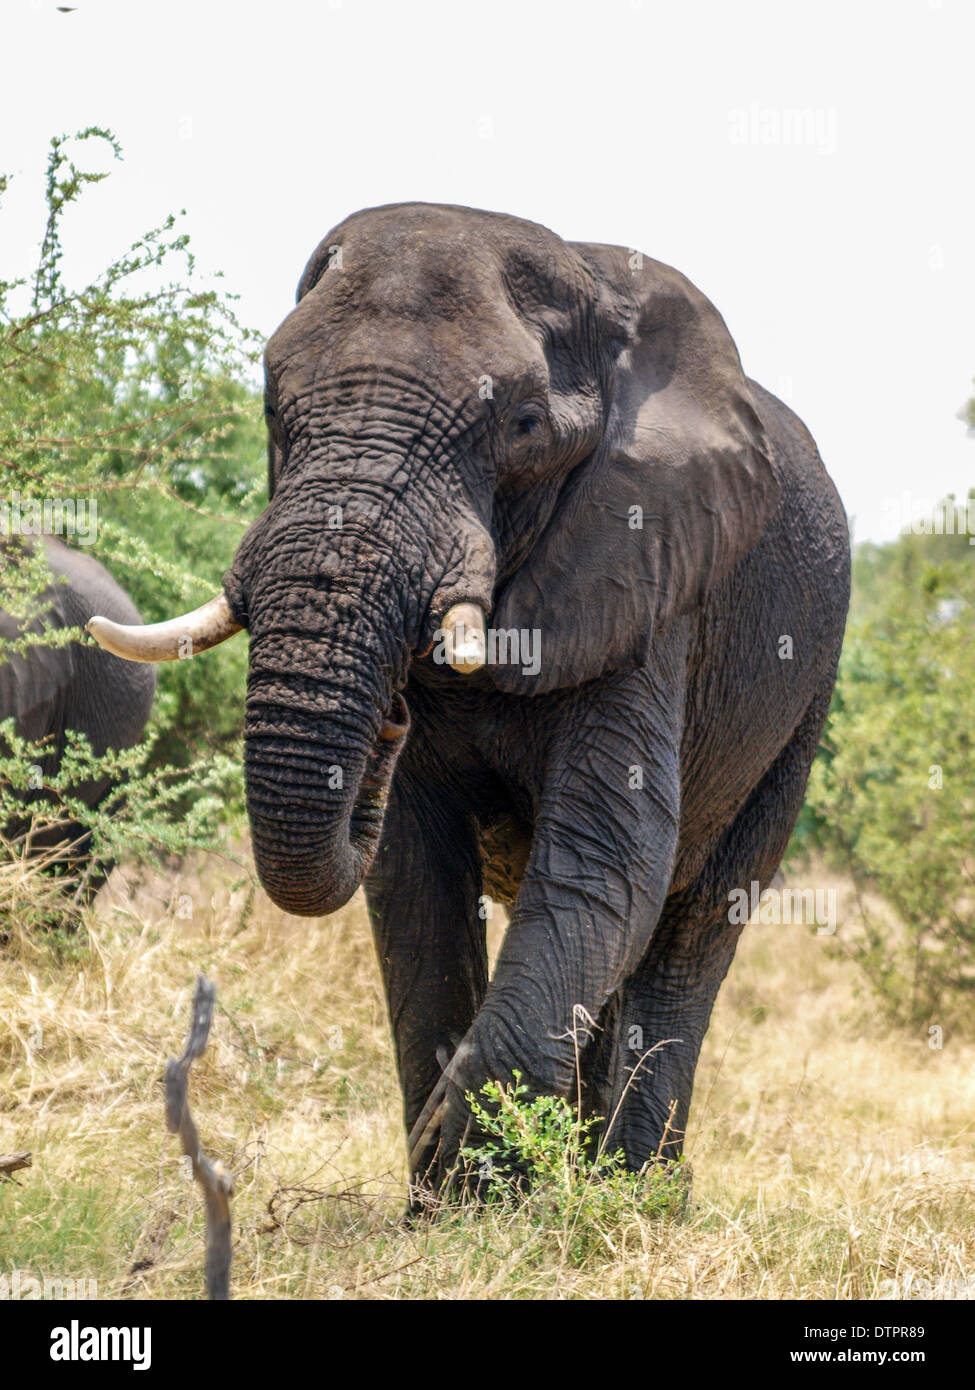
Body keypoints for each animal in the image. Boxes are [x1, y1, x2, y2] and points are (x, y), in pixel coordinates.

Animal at [88, 203, 850, 1193]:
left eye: (522, 425)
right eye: (271, 411)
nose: (388, 724)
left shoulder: (647, 573)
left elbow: (610, 855)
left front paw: (473, 1166)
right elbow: (415, 872)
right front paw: (448, 1193)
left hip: (802, 705)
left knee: (691, 928)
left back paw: (631, 1191)